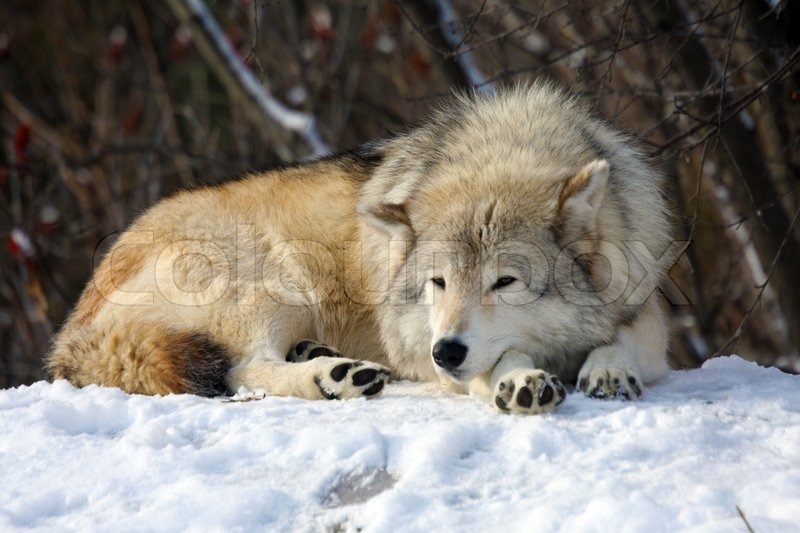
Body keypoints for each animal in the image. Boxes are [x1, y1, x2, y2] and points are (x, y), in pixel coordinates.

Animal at [46, 82, 672, 414]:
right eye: (438, 283)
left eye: (505, 282)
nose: (447, 351)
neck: (505, 149)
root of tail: (73, 327)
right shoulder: (423, 342)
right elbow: (500, 360)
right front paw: (520, 381)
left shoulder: (644, 301)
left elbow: (629, 337)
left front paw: (609, 368)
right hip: (272, 277)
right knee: (242, 370)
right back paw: (334, 378)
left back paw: (328, 362)